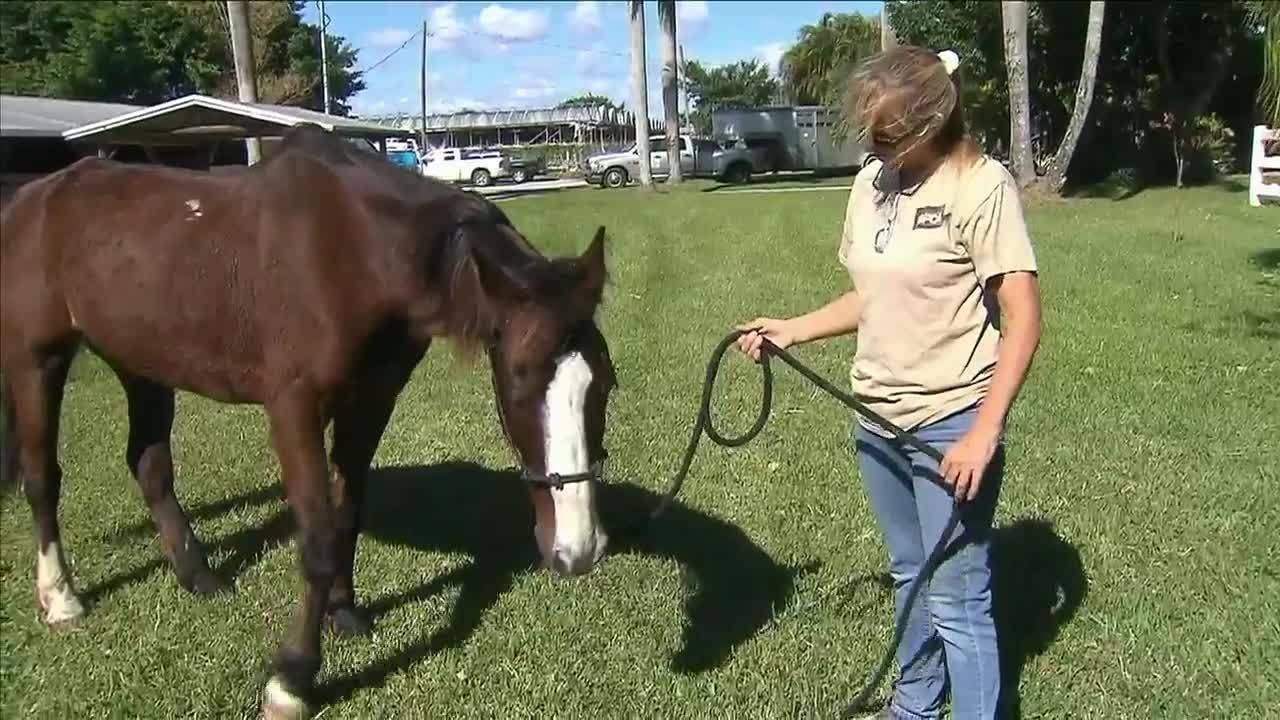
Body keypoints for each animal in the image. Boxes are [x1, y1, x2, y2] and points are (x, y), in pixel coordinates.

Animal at [0, 124, 618, 719]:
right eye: (519, 378)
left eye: (606, 383)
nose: (579, 550)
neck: (356, 250)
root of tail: (32, 197)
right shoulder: (294, 408)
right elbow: (318, 537)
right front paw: (292, 679)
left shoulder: (371, 399)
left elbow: (347, 512)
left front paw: (343, 613)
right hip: (37, 359)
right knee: (42, 477)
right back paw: (61, 597)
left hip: (142, 360)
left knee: (149, 465)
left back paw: (198, 575)